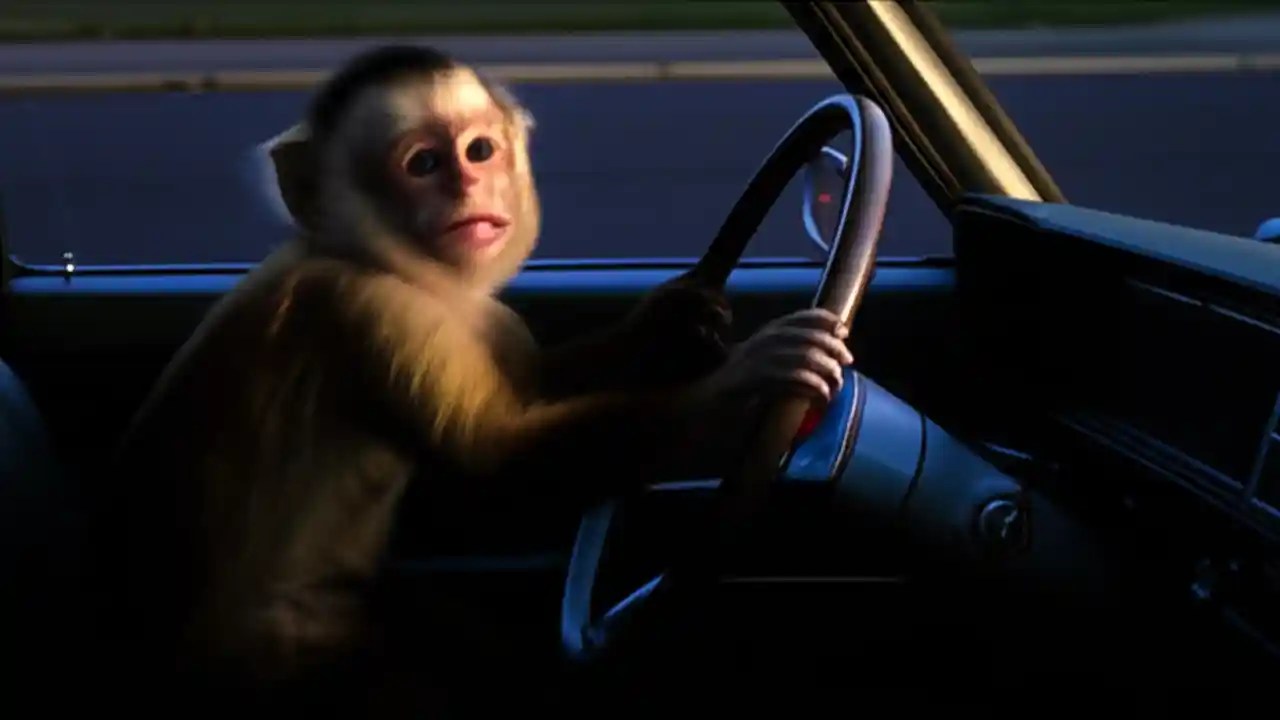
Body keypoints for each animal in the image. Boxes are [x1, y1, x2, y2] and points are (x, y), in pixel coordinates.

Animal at [105, 44, 855, 716]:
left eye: (479, 151)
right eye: (424, 164)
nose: (468, 189)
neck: (397, 268)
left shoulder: (483, 318)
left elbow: (532, 387)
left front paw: (667, 320)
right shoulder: (385, 316)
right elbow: (501, 463)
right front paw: (741, 393)